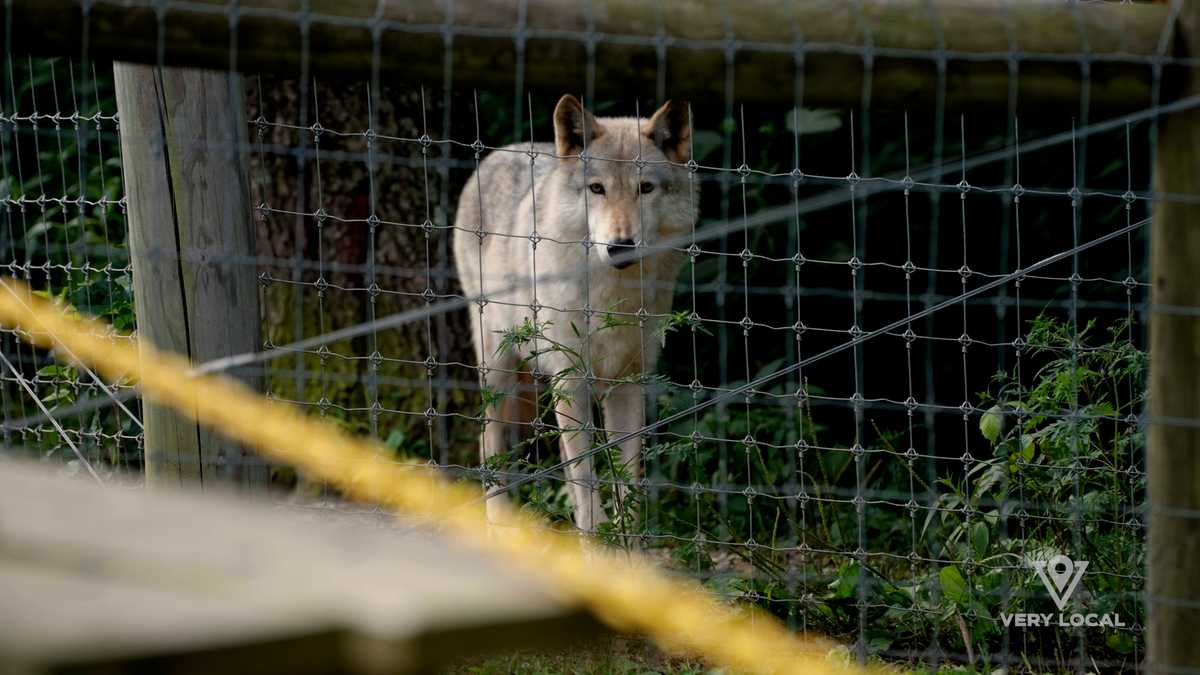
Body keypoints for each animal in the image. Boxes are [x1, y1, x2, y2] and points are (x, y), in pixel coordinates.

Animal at [452, 95, 695, 531]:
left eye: (645, 188)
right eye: (597, 189)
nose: (620, 246)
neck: (610, 297)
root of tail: (499, 153)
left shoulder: (628, 384)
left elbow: (627, 484)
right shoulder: (571, 382)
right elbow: (586, 484)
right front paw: (594, 541)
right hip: (498, 365)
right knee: (489, 440)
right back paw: (497, 522)